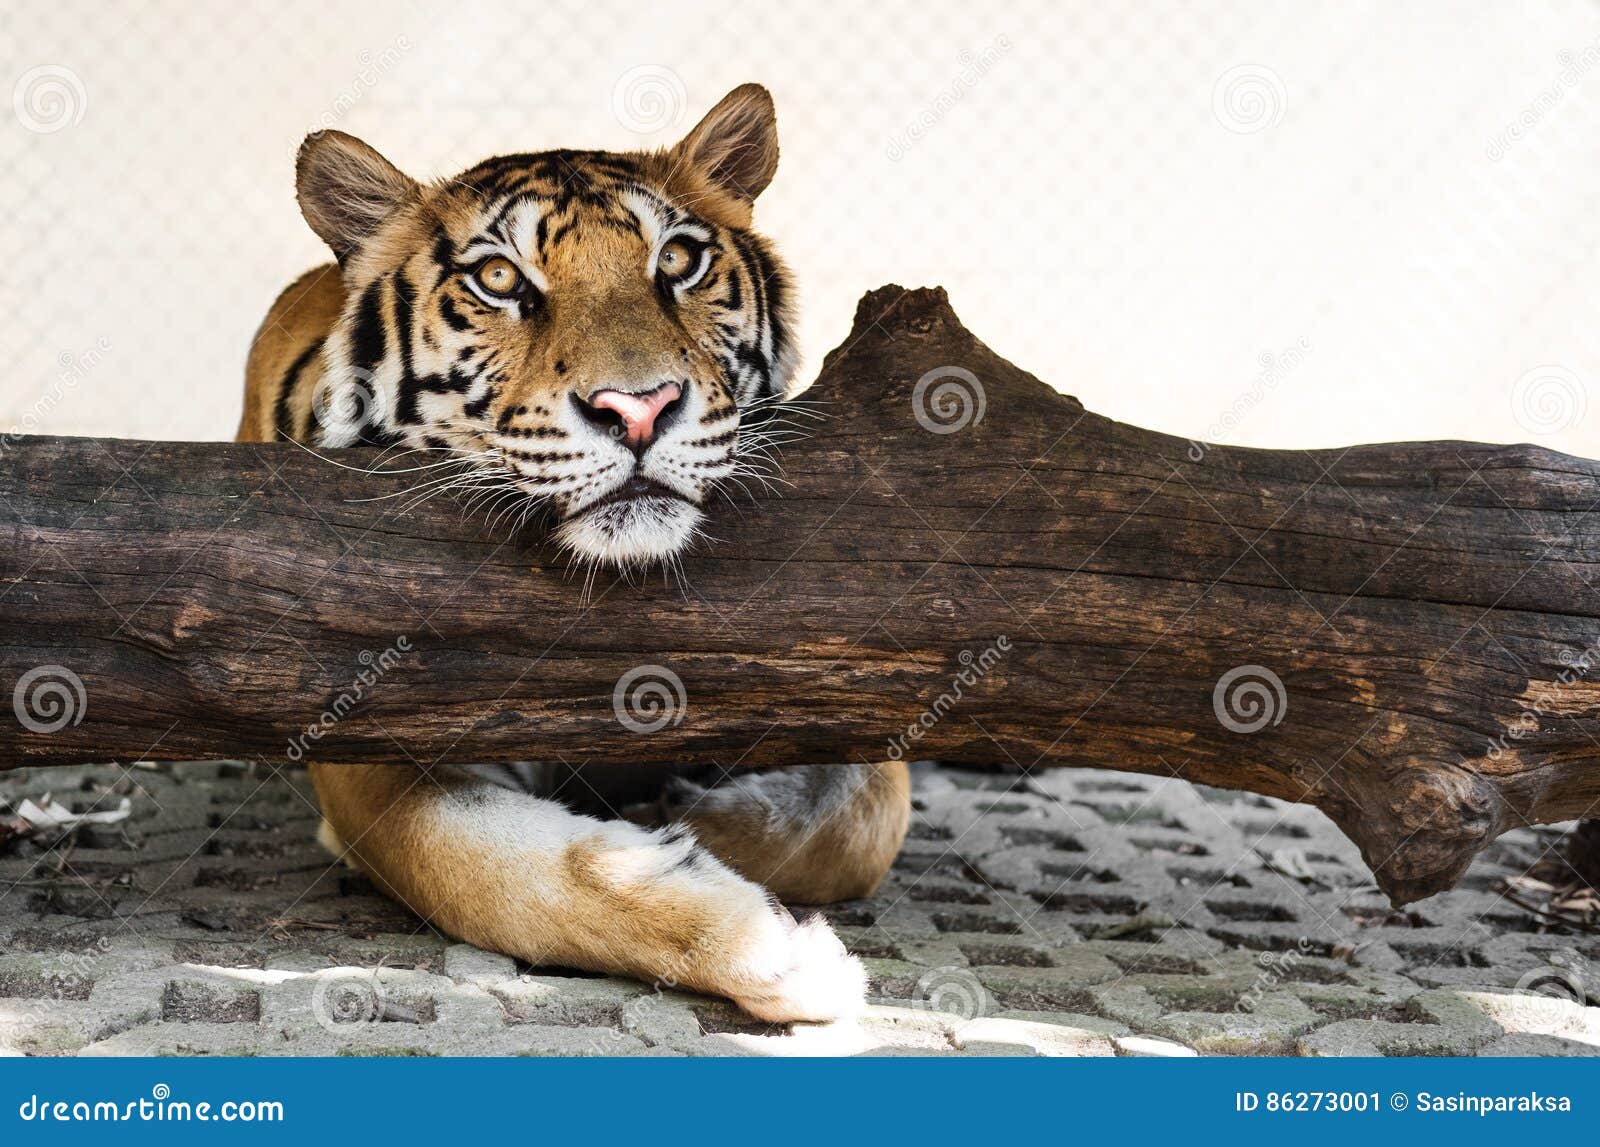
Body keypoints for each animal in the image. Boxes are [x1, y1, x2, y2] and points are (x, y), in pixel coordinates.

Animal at [238, 85, 910, 1022]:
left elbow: (851, 829)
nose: (639, 408)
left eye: (680, 259)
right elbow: (501, 878)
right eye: (499, 279)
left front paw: (679, 813)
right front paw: (773, 951)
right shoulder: (371, 758)